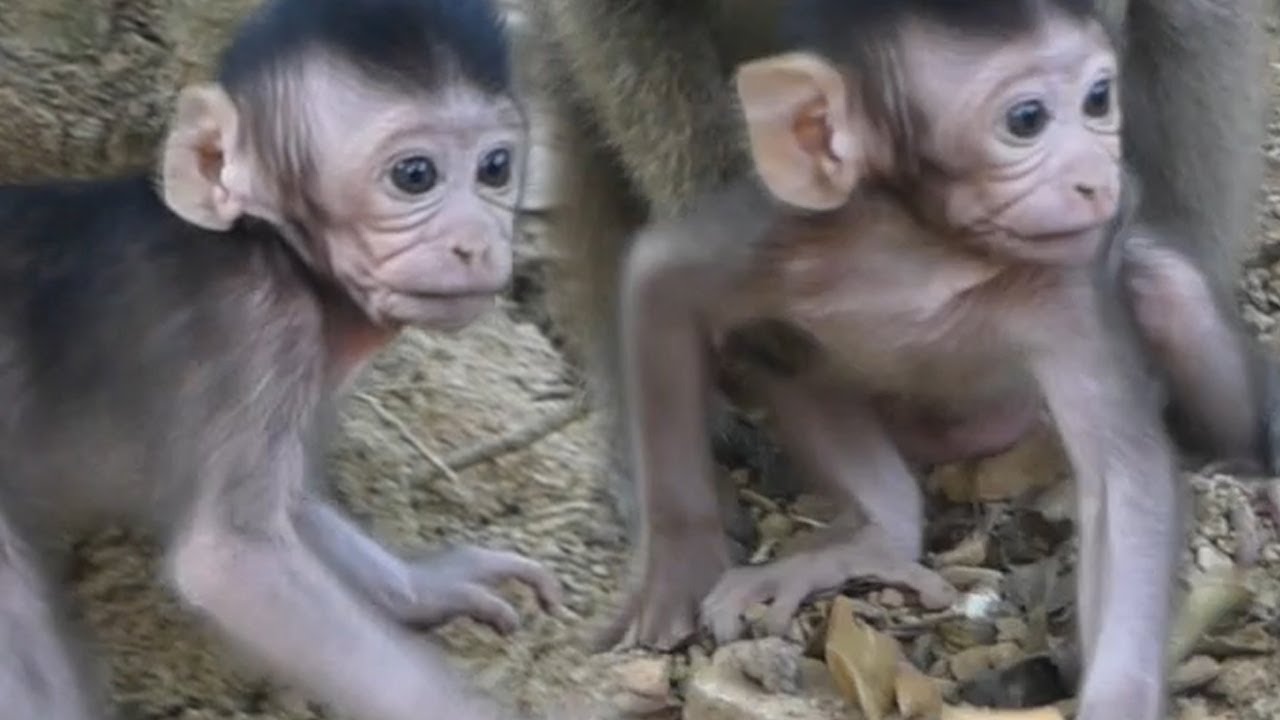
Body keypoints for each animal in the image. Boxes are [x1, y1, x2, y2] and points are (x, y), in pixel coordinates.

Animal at [0, 0, 567, 718]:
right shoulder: (261, 326)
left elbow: (290, 498)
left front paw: (426, 584)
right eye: (415, 176)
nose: (476, 241)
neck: (270, 245)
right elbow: (231, 561)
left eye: (495, 167)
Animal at [598, 2, 1275, 718]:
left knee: (1165, 287)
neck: (927, 252)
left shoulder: (1063, 291)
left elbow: (1123, 485)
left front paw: (1117, 696)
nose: (1100, 180)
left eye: (1098, 99)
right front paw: (677, 564)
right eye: (1026, 119)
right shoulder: (780, 234)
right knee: (782, 356)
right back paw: (879, 534)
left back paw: (1246, 463)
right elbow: (659, 285)